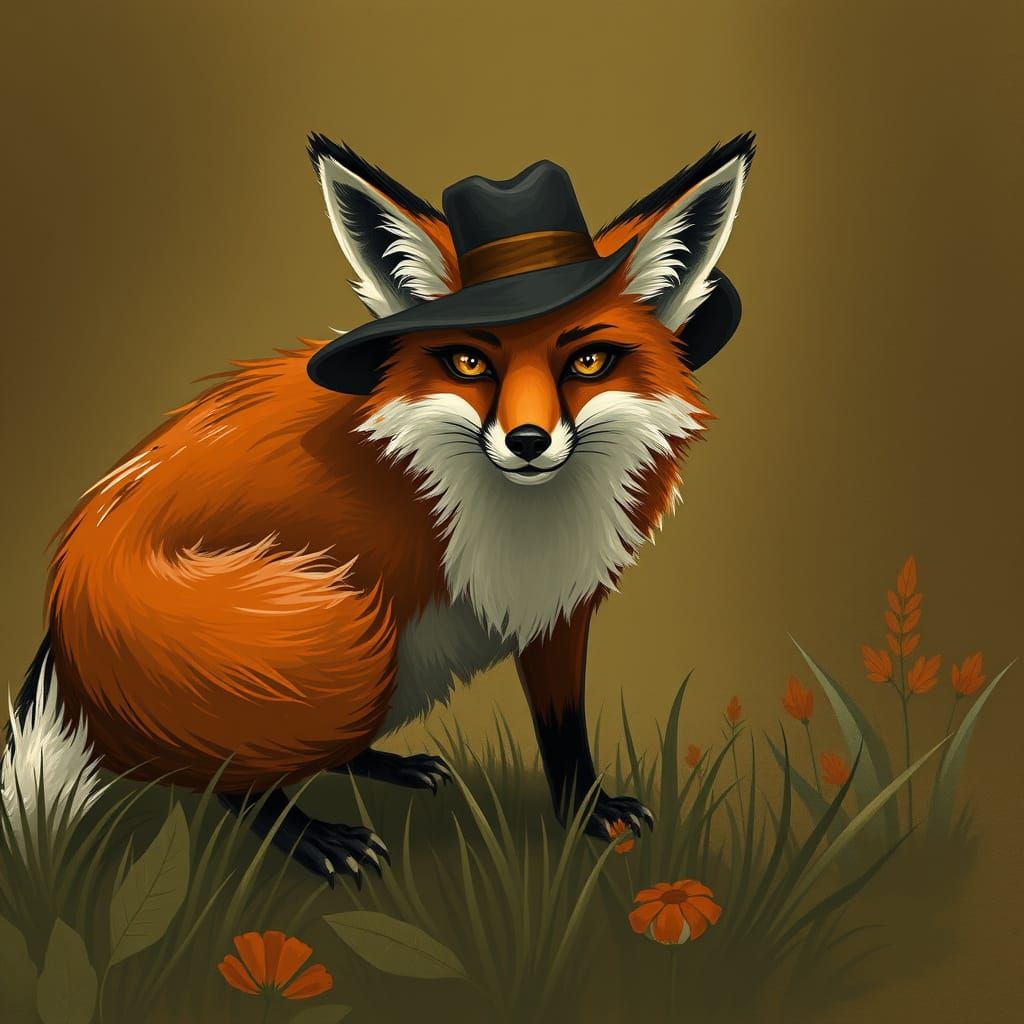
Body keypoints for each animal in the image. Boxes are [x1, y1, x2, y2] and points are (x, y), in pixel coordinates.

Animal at [3, 131, 754, 885]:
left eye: (590, 362)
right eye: (469, 364)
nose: (528, 442)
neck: (523, 521)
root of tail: (62, 649)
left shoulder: (556, 607)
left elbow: (563, 728)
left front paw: (587, 813)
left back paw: (387, 765)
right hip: (346, 628)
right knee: (225, 774)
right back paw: (313, 835)